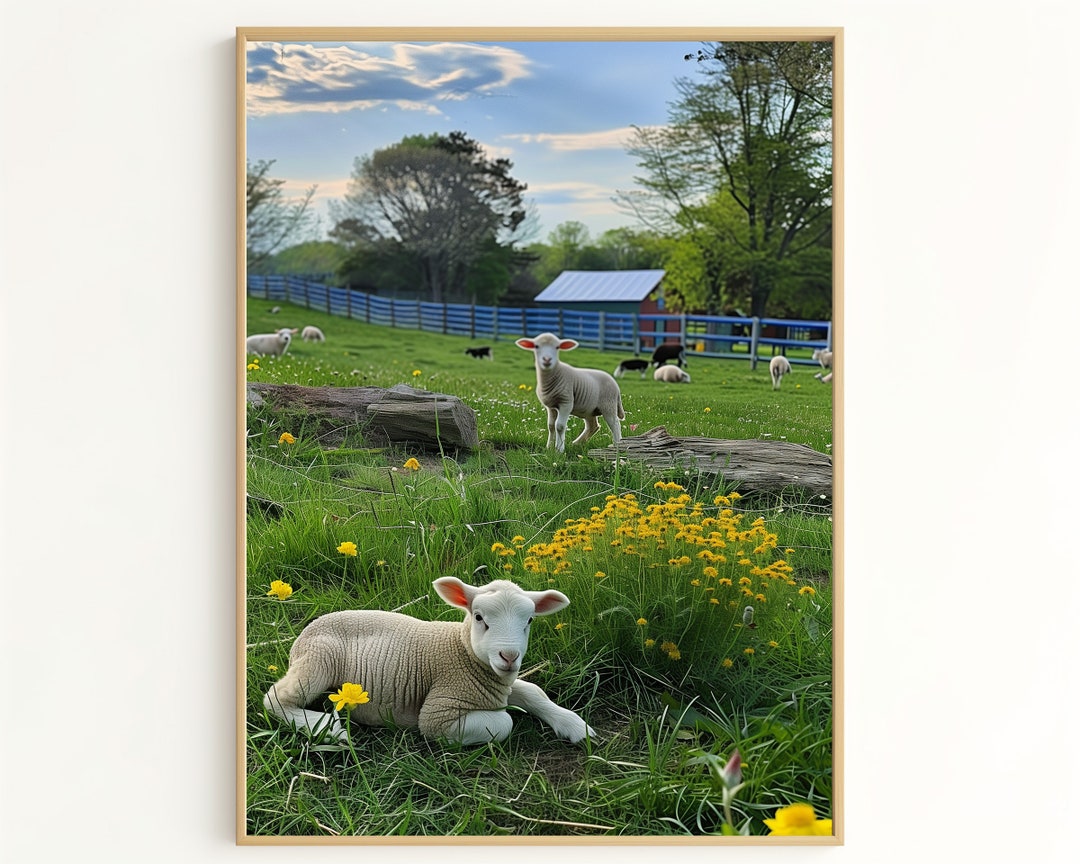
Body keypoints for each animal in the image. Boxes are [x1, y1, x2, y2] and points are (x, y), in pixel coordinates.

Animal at [263, 576, 595, 746]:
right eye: (479, 618)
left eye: (529, 620)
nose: (509, 656)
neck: (463, 653)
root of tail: (304, 633)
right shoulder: (440, 711)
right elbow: (505, 722)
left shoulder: (496, 683)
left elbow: (534, 693)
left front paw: (575, 725)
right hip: (319, 659)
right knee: (275, 698)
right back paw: (328, 728)